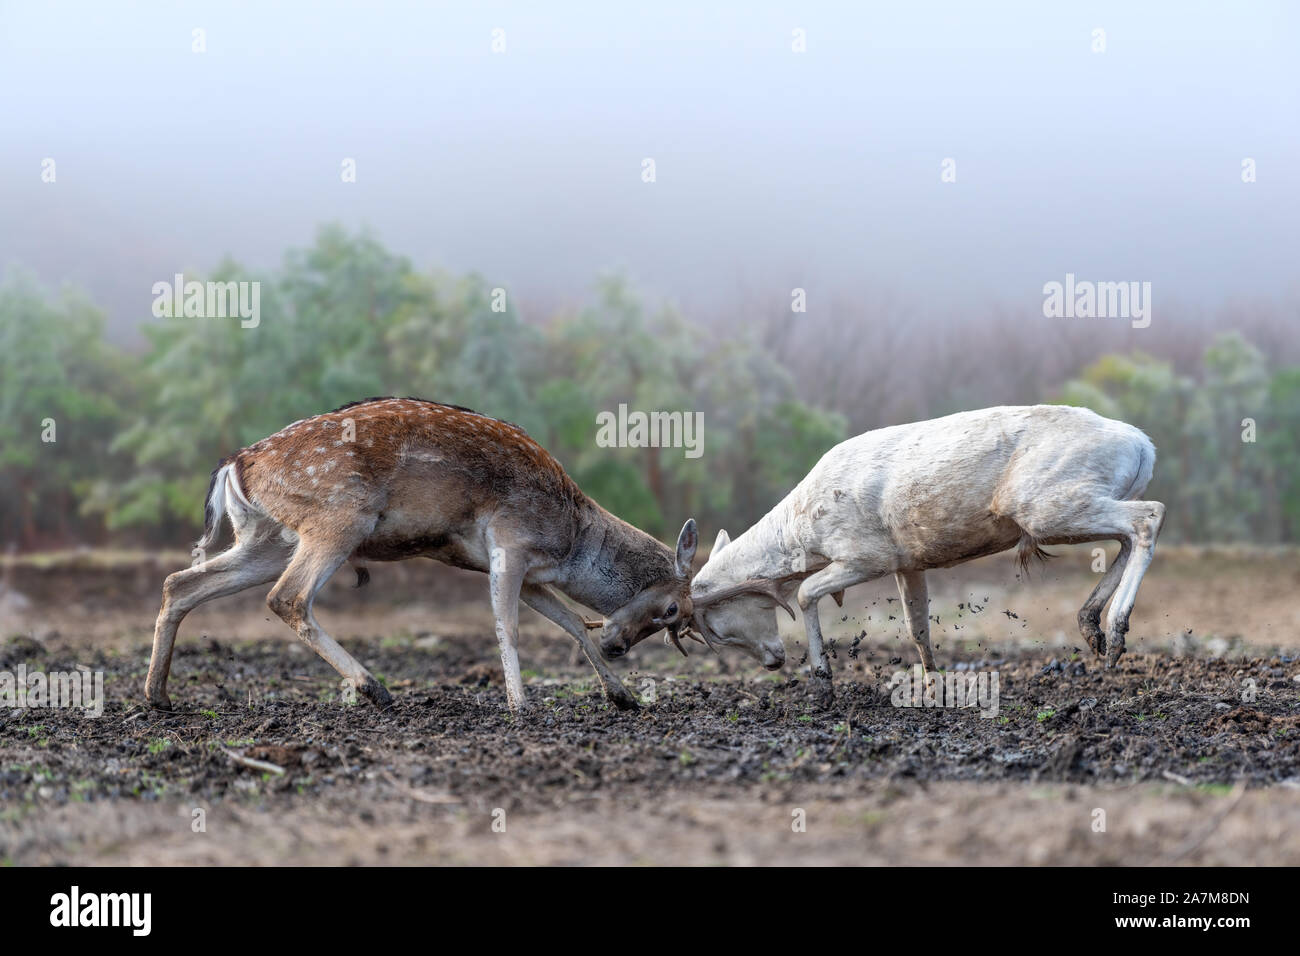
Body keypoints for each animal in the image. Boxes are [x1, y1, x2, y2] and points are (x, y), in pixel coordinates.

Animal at [145, 397, 702, 714]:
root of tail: (237, 463)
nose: (618, 647)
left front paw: (622, 696)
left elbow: (569, 622)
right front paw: (520, 704)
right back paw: (374, 688)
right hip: (339, 517)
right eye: (673, 609)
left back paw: (159, 696)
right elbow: (508, 624)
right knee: (288, 597)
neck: (570, 540)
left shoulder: (528, 572)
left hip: (266, 538)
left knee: (181, 583)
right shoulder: (510, 542)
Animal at [599, 405, 1165, 705]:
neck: (803, 532)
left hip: (1045, 505)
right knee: (1125, 535)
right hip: (1068, 503)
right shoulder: (907, 561)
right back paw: (1091, 625)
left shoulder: (865, 554)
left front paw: (823, 679)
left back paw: (1115, 632)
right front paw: (932, 682)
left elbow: (807, 592)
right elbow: (917, 624)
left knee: (1148, 517)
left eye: (710, 629)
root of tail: (1144, 444)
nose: (773, 661)